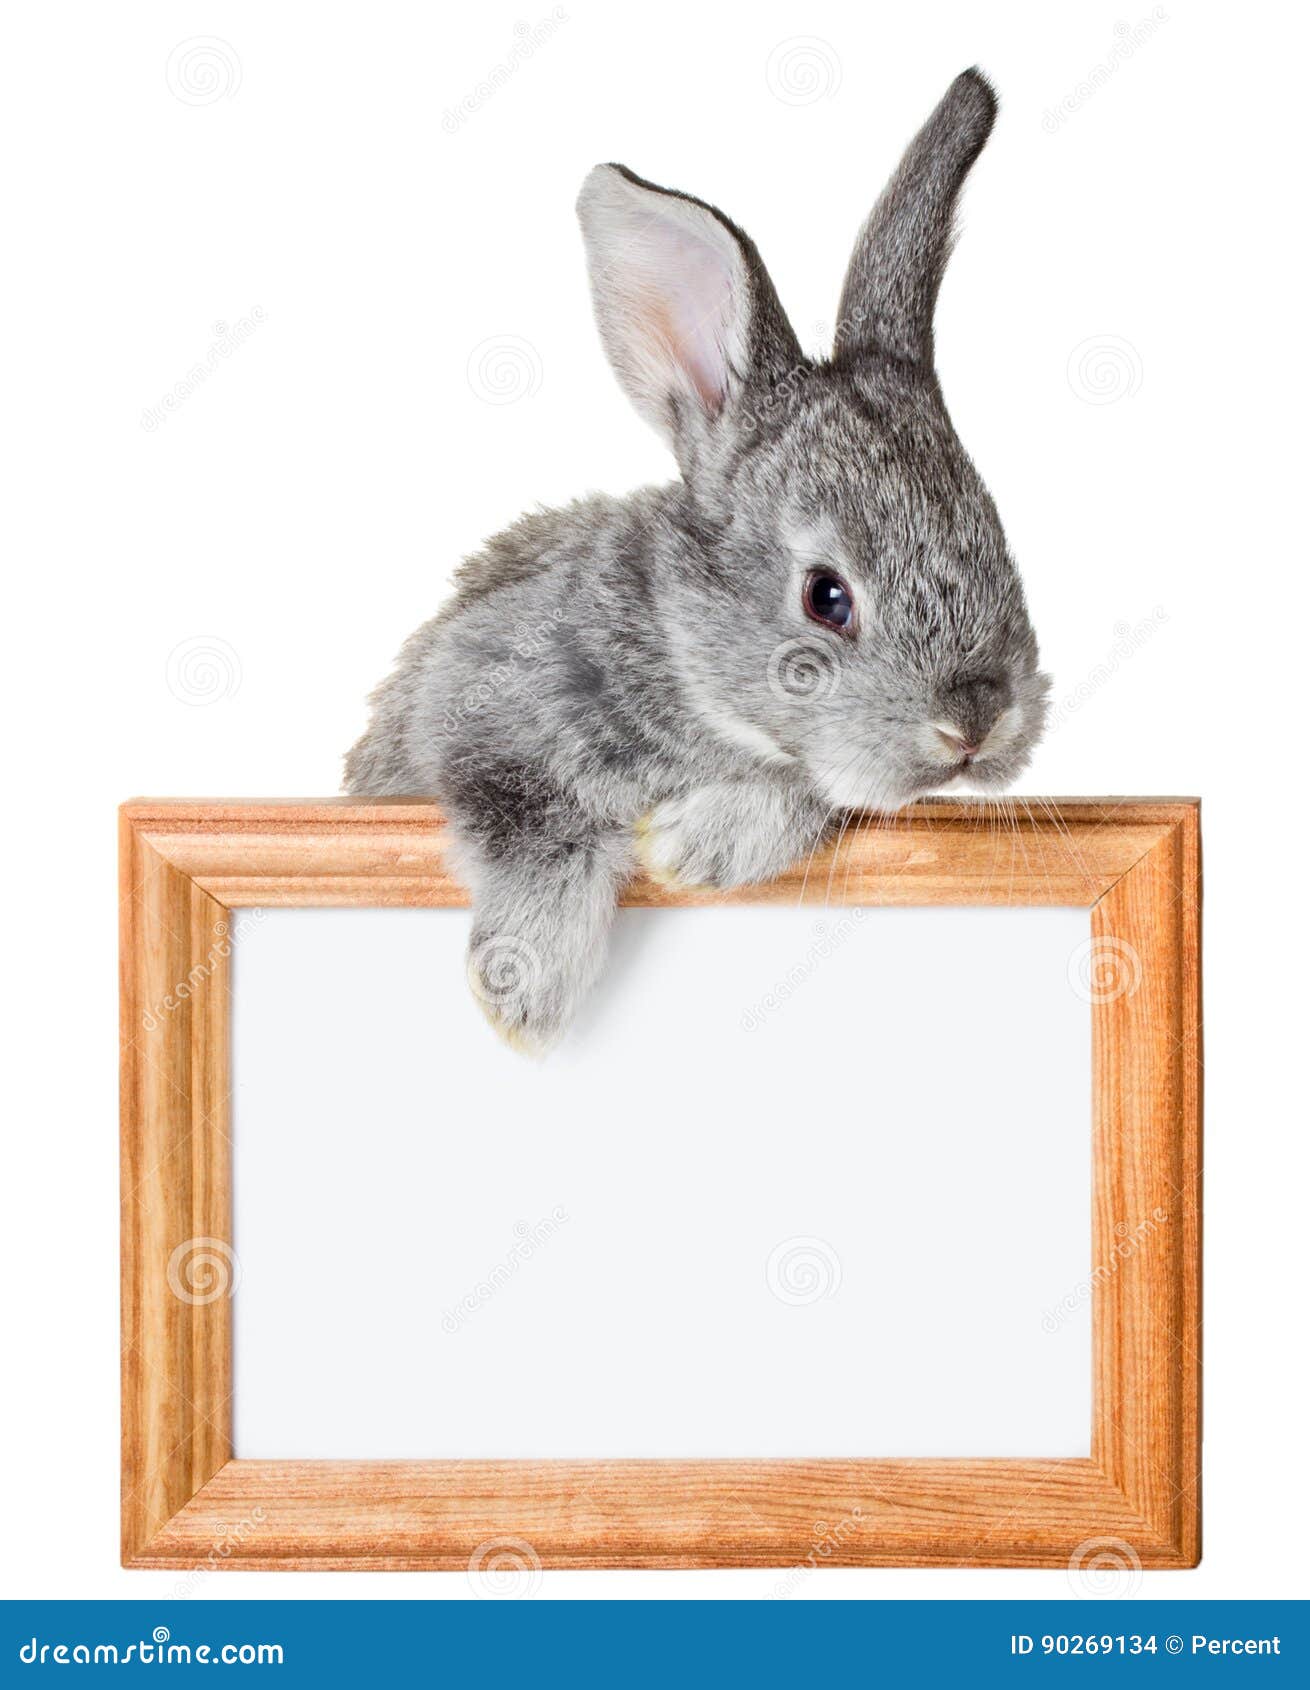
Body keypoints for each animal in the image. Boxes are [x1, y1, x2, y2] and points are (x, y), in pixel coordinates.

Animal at [345, 67, 1049, 1053]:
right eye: (826, 596)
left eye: (997, 538)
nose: (976, 722)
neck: (684, 664)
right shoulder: (470, 700)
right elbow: (534, 819)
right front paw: (525, 990)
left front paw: (697, 846)